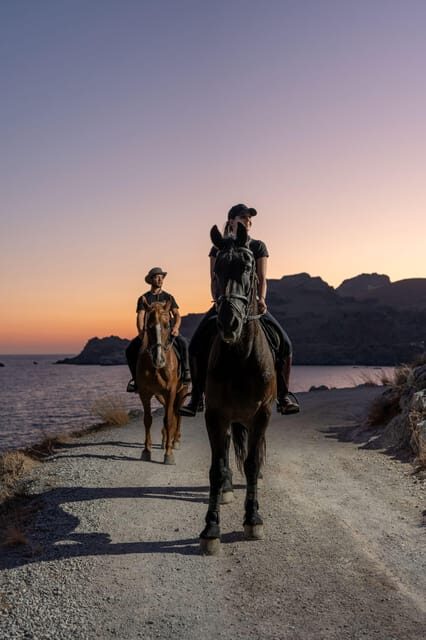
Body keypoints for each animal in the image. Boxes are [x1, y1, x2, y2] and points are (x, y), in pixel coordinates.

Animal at [136, 299, 188, 464]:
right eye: (149, 326)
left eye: (166, 325)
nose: (159, 360)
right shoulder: (145, 393)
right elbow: (148, 420)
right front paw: (146, 450)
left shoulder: (170, 392)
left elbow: (169, 419)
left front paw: (168, 454)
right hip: (161, 396)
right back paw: (166, 440)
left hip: (181, 392)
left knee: (177, 414)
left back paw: (175, 440)